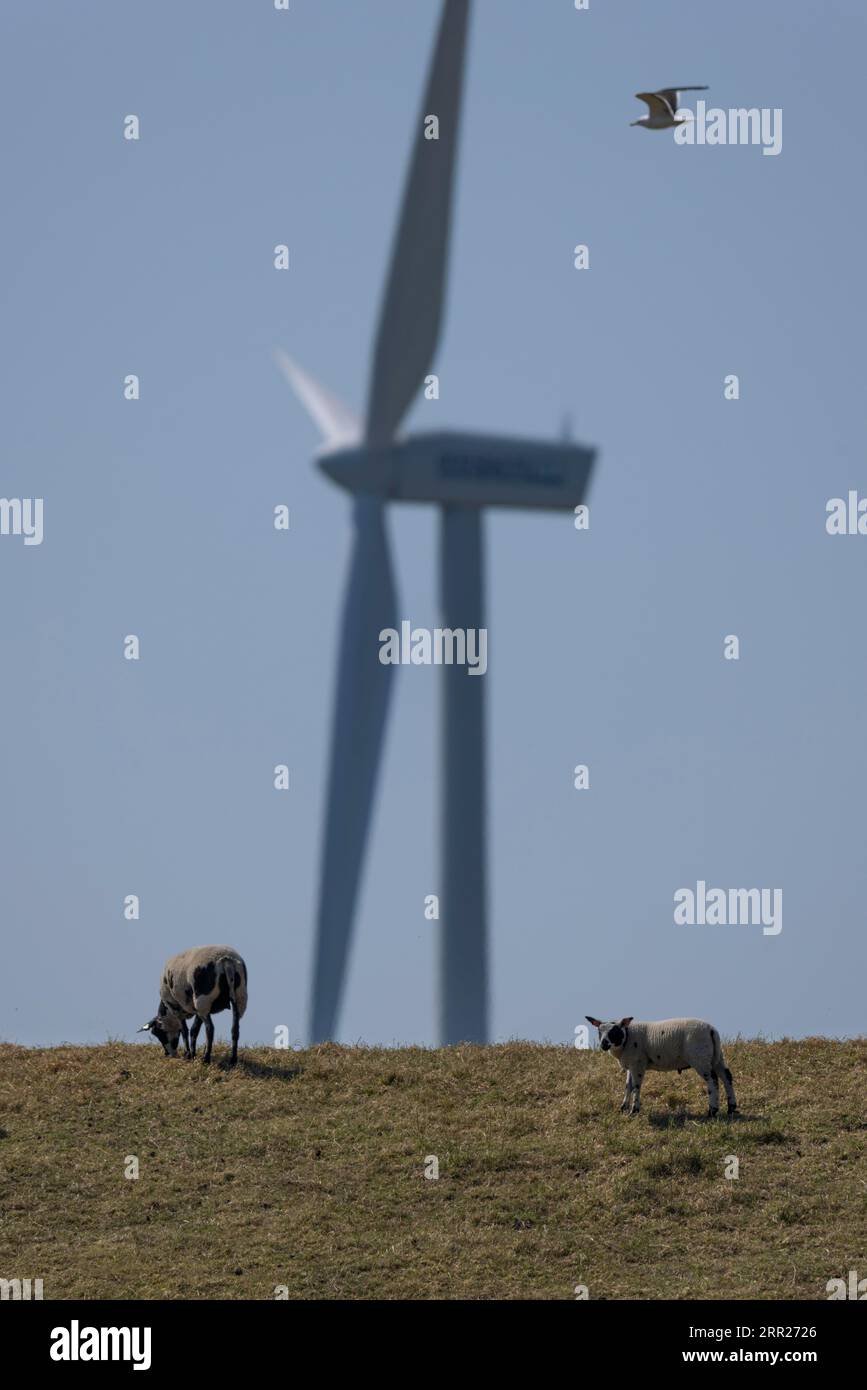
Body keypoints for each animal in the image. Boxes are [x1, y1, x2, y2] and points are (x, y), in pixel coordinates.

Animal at [585, 1015, 737, 1118]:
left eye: (614, 1031)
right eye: (599, 1031)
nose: (604, 1044)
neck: (627, 1039)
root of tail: (711, 1030)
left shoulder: (638, 1064)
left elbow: (636, 1087)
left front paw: (634, 1110)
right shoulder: (630, 1065)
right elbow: (628, 1086)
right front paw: (623, 1108)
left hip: (700, 1057)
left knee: (712, 1080)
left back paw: (712, 1110)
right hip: (716, 1057)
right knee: (726, 1077)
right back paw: (731, 1108)